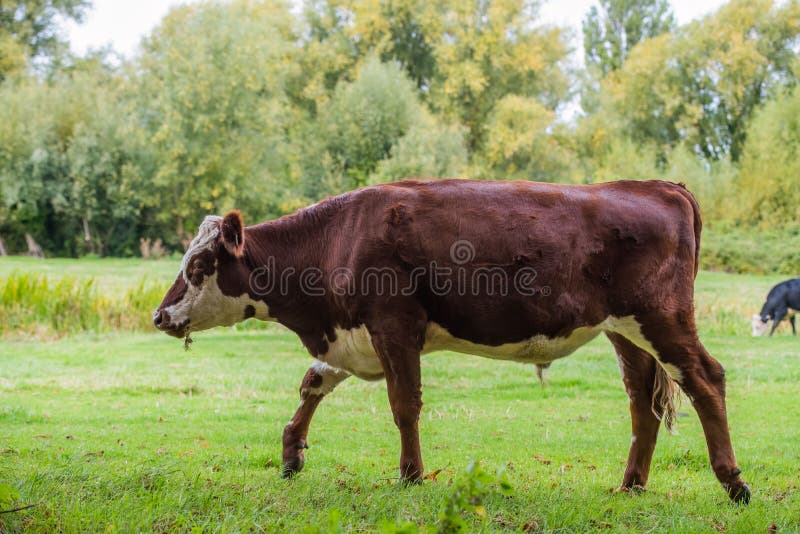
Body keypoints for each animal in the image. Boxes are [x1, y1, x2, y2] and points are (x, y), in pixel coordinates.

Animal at [154, 179, 750, 504]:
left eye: (199, 265)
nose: (159, 315)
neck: (338, 240)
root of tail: (654, 186)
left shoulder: (394, 324)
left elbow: (404, 405)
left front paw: (411, 476)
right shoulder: (350, 335)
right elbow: (311, 385)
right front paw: (291, 452)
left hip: (664, 319)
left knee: (705, 379)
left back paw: (733, 482)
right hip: (625, 333)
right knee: (641, 402)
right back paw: (630, 485)